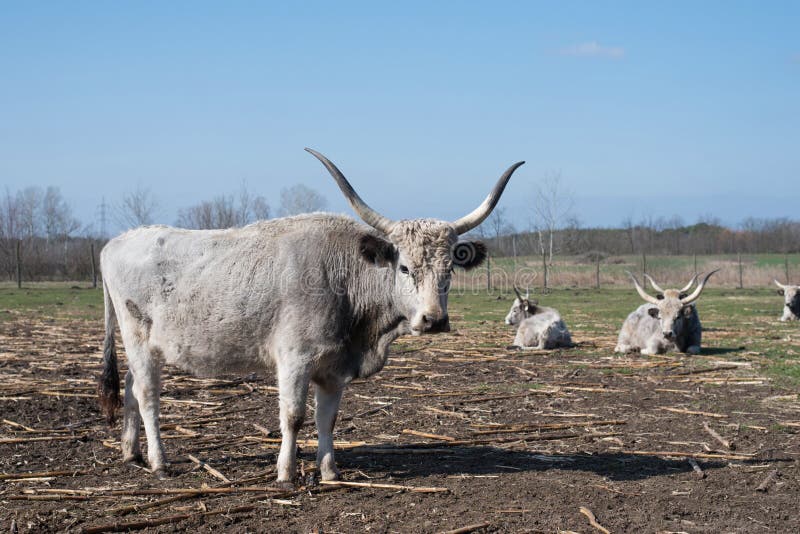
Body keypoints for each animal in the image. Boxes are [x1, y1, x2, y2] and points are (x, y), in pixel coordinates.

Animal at [97, 148, 524, 486]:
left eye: (450, 268)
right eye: (404, 267)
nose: (433, 320)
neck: (344, 279)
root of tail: (117, 241)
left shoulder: (335, 368)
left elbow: (327, 420)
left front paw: (330, 471)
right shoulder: (295, 358)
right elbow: (294, 416)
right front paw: (286, 473)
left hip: (143, 347)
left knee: (131, 388)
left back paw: (131, 452)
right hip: (138, 338)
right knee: (147, 395)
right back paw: (159, 462)